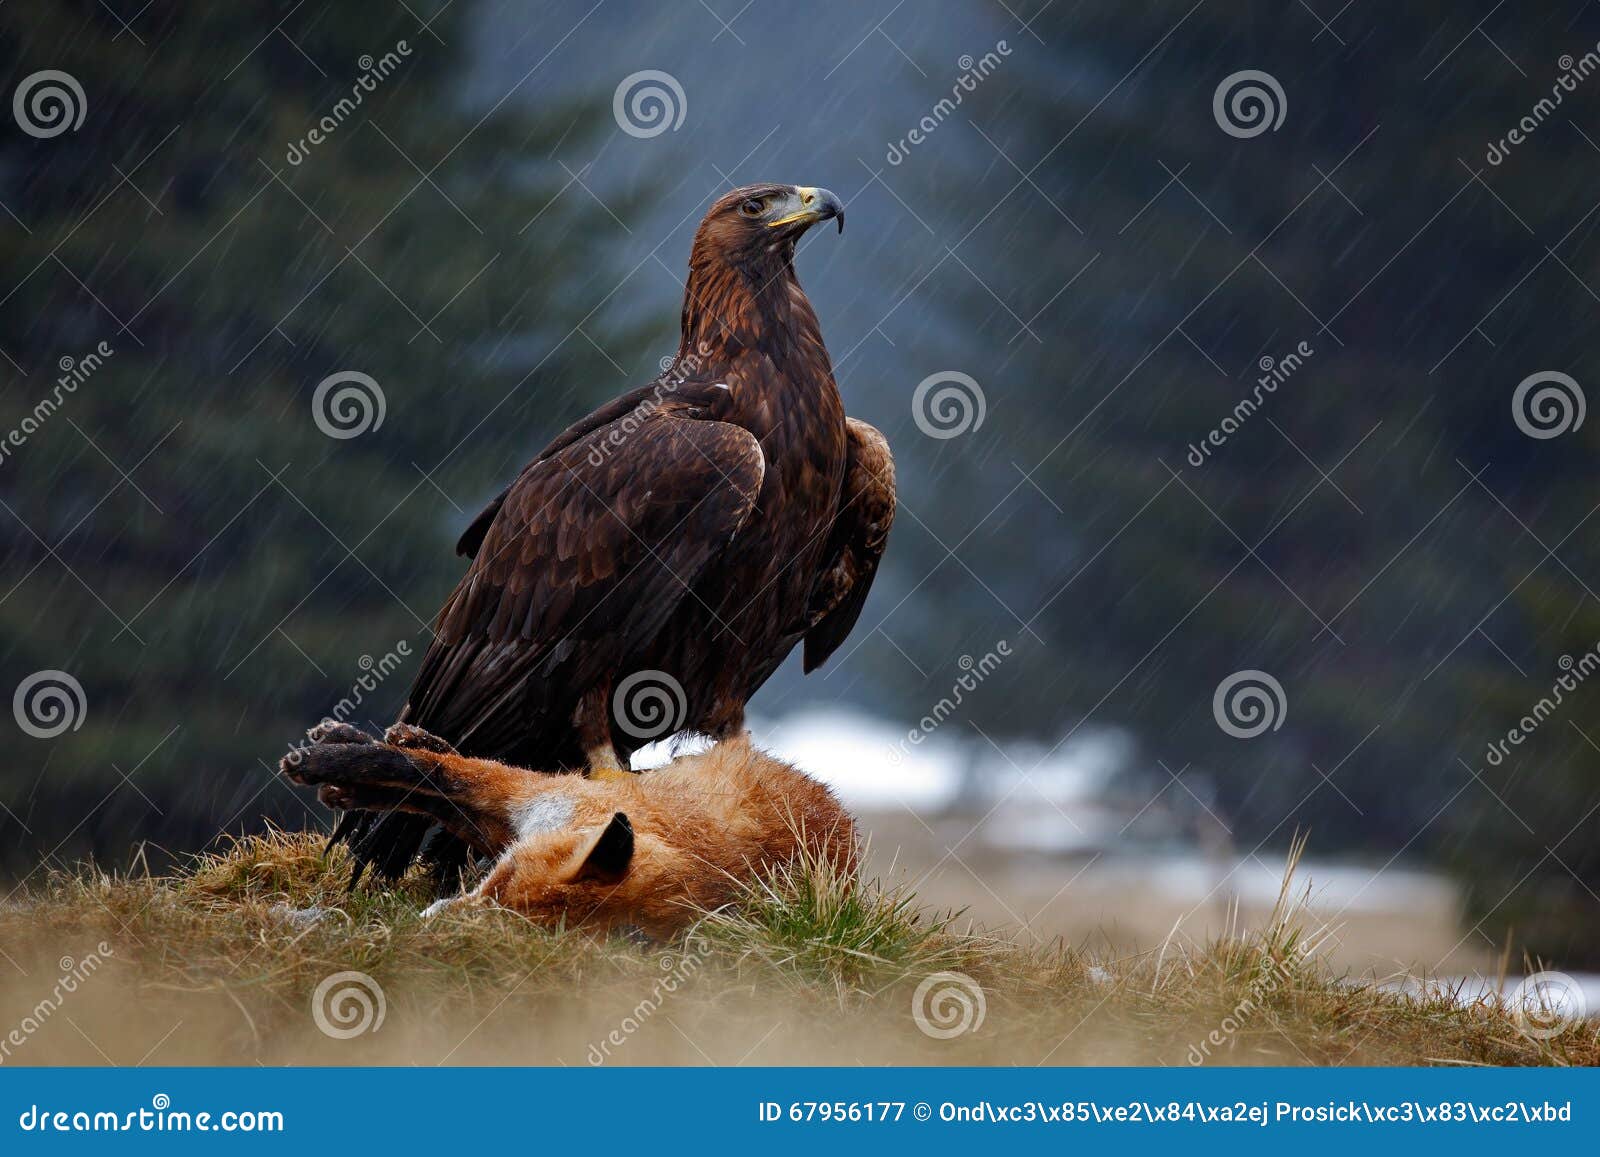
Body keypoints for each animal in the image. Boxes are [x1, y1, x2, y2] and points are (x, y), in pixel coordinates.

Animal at [279, 721, 857, 936]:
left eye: (501, 911)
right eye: (497, 882)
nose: (429, 922)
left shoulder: (526, 808)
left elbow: (433, 781)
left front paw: (336, 772)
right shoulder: (535, 802)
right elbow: (430, 771)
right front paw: (332, 761)